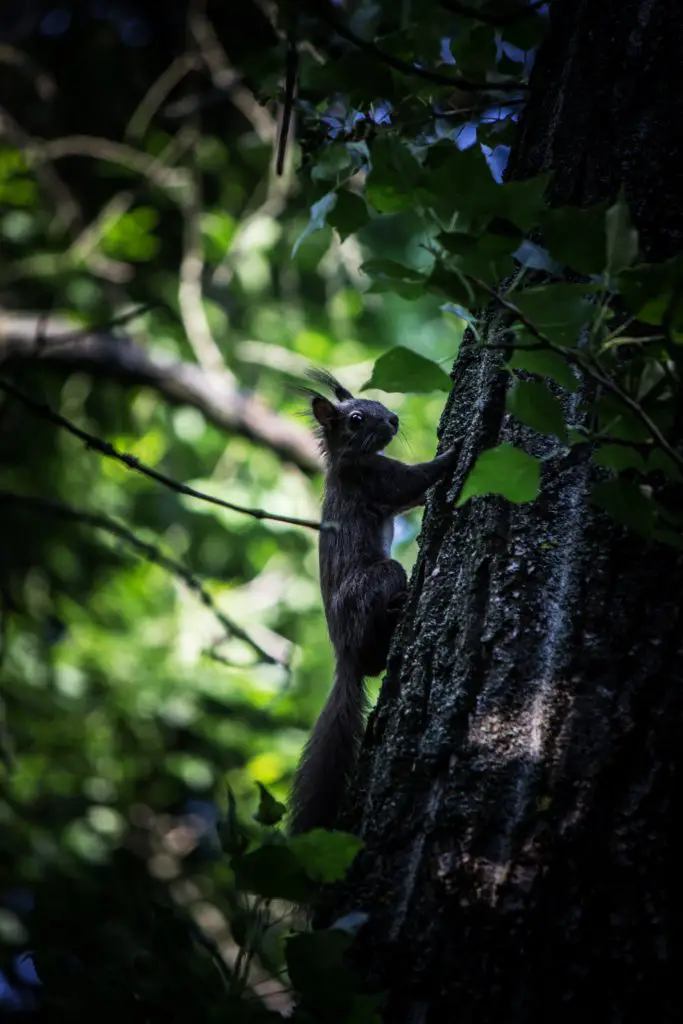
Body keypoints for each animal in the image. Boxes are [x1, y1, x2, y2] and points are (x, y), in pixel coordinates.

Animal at [288, 369, 460, 835]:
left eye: (379, 404)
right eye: (357, 419)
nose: (395, 419)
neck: (347, 462)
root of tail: (343, 653)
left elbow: (413, 495)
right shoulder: (375, 480)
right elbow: (415, 480)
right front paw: (453, 451)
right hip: (380, 578)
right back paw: (397, 611)